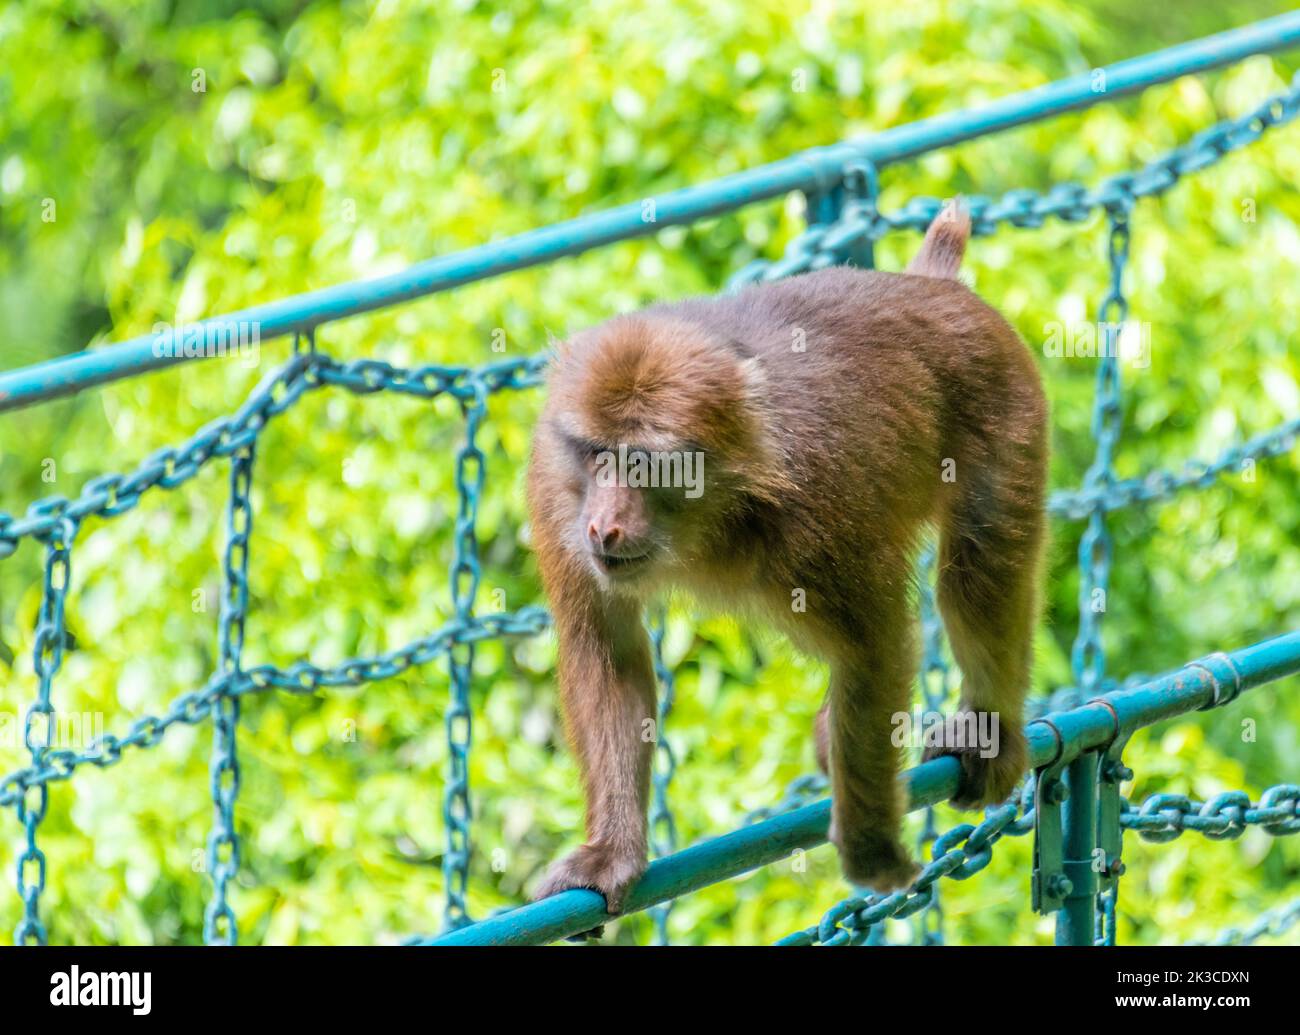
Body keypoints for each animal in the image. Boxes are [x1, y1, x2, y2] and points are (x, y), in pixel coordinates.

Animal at [526, 206, 1047, 917]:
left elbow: (873, 649)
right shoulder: (557, 496)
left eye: (647, 464)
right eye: (596, 454)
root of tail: (929, 287)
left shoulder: (821, 514)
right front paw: (611, 853)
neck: (715, 513)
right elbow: (608, 652)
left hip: (1009, 404)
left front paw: (871, 846)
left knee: (980, 565)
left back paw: (988, 728)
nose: (604, 524)